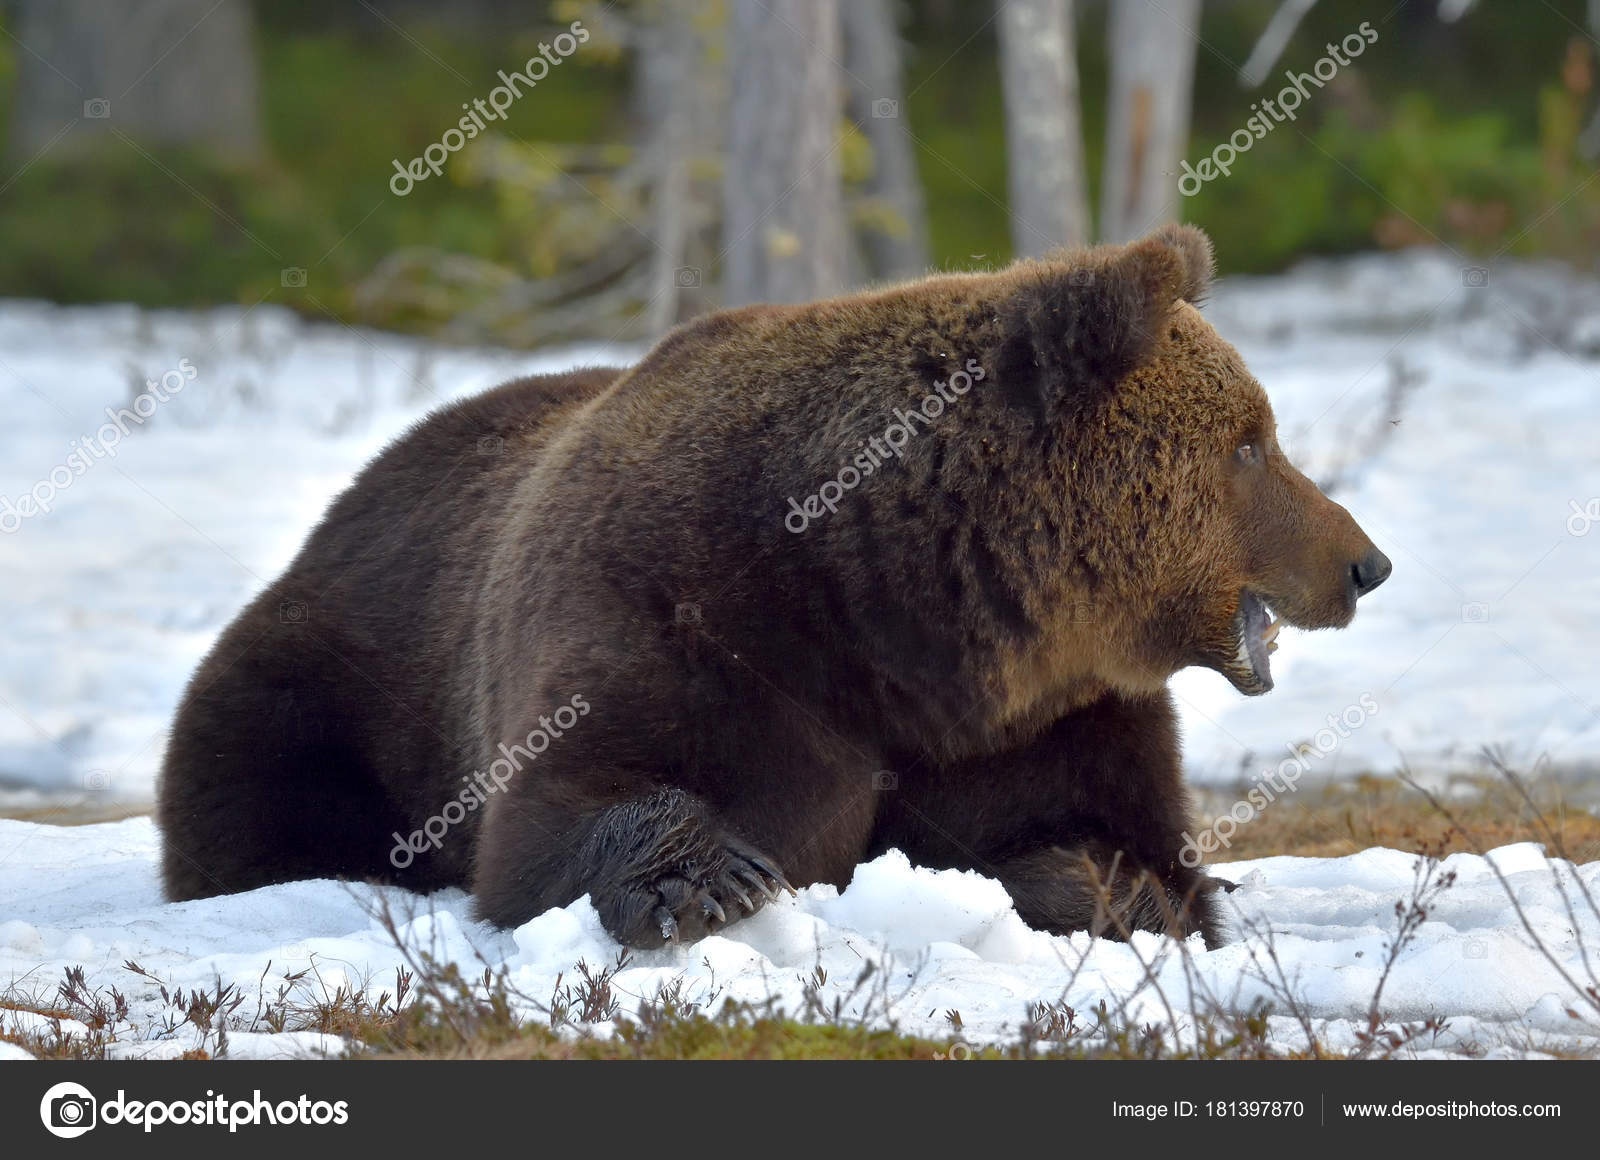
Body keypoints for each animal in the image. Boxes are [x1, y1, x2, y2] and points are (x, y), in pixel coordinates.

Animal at [157, 224, 1390, 951]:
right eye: (1252, 442)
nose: (1365, 562)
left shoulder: (1035, 714)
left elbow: (1119, 839)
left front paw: (1097, 887)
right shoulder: (665, 609)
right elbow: (559, 806)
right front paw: (708, 875)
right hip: (338, 663)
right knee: (254, 777)